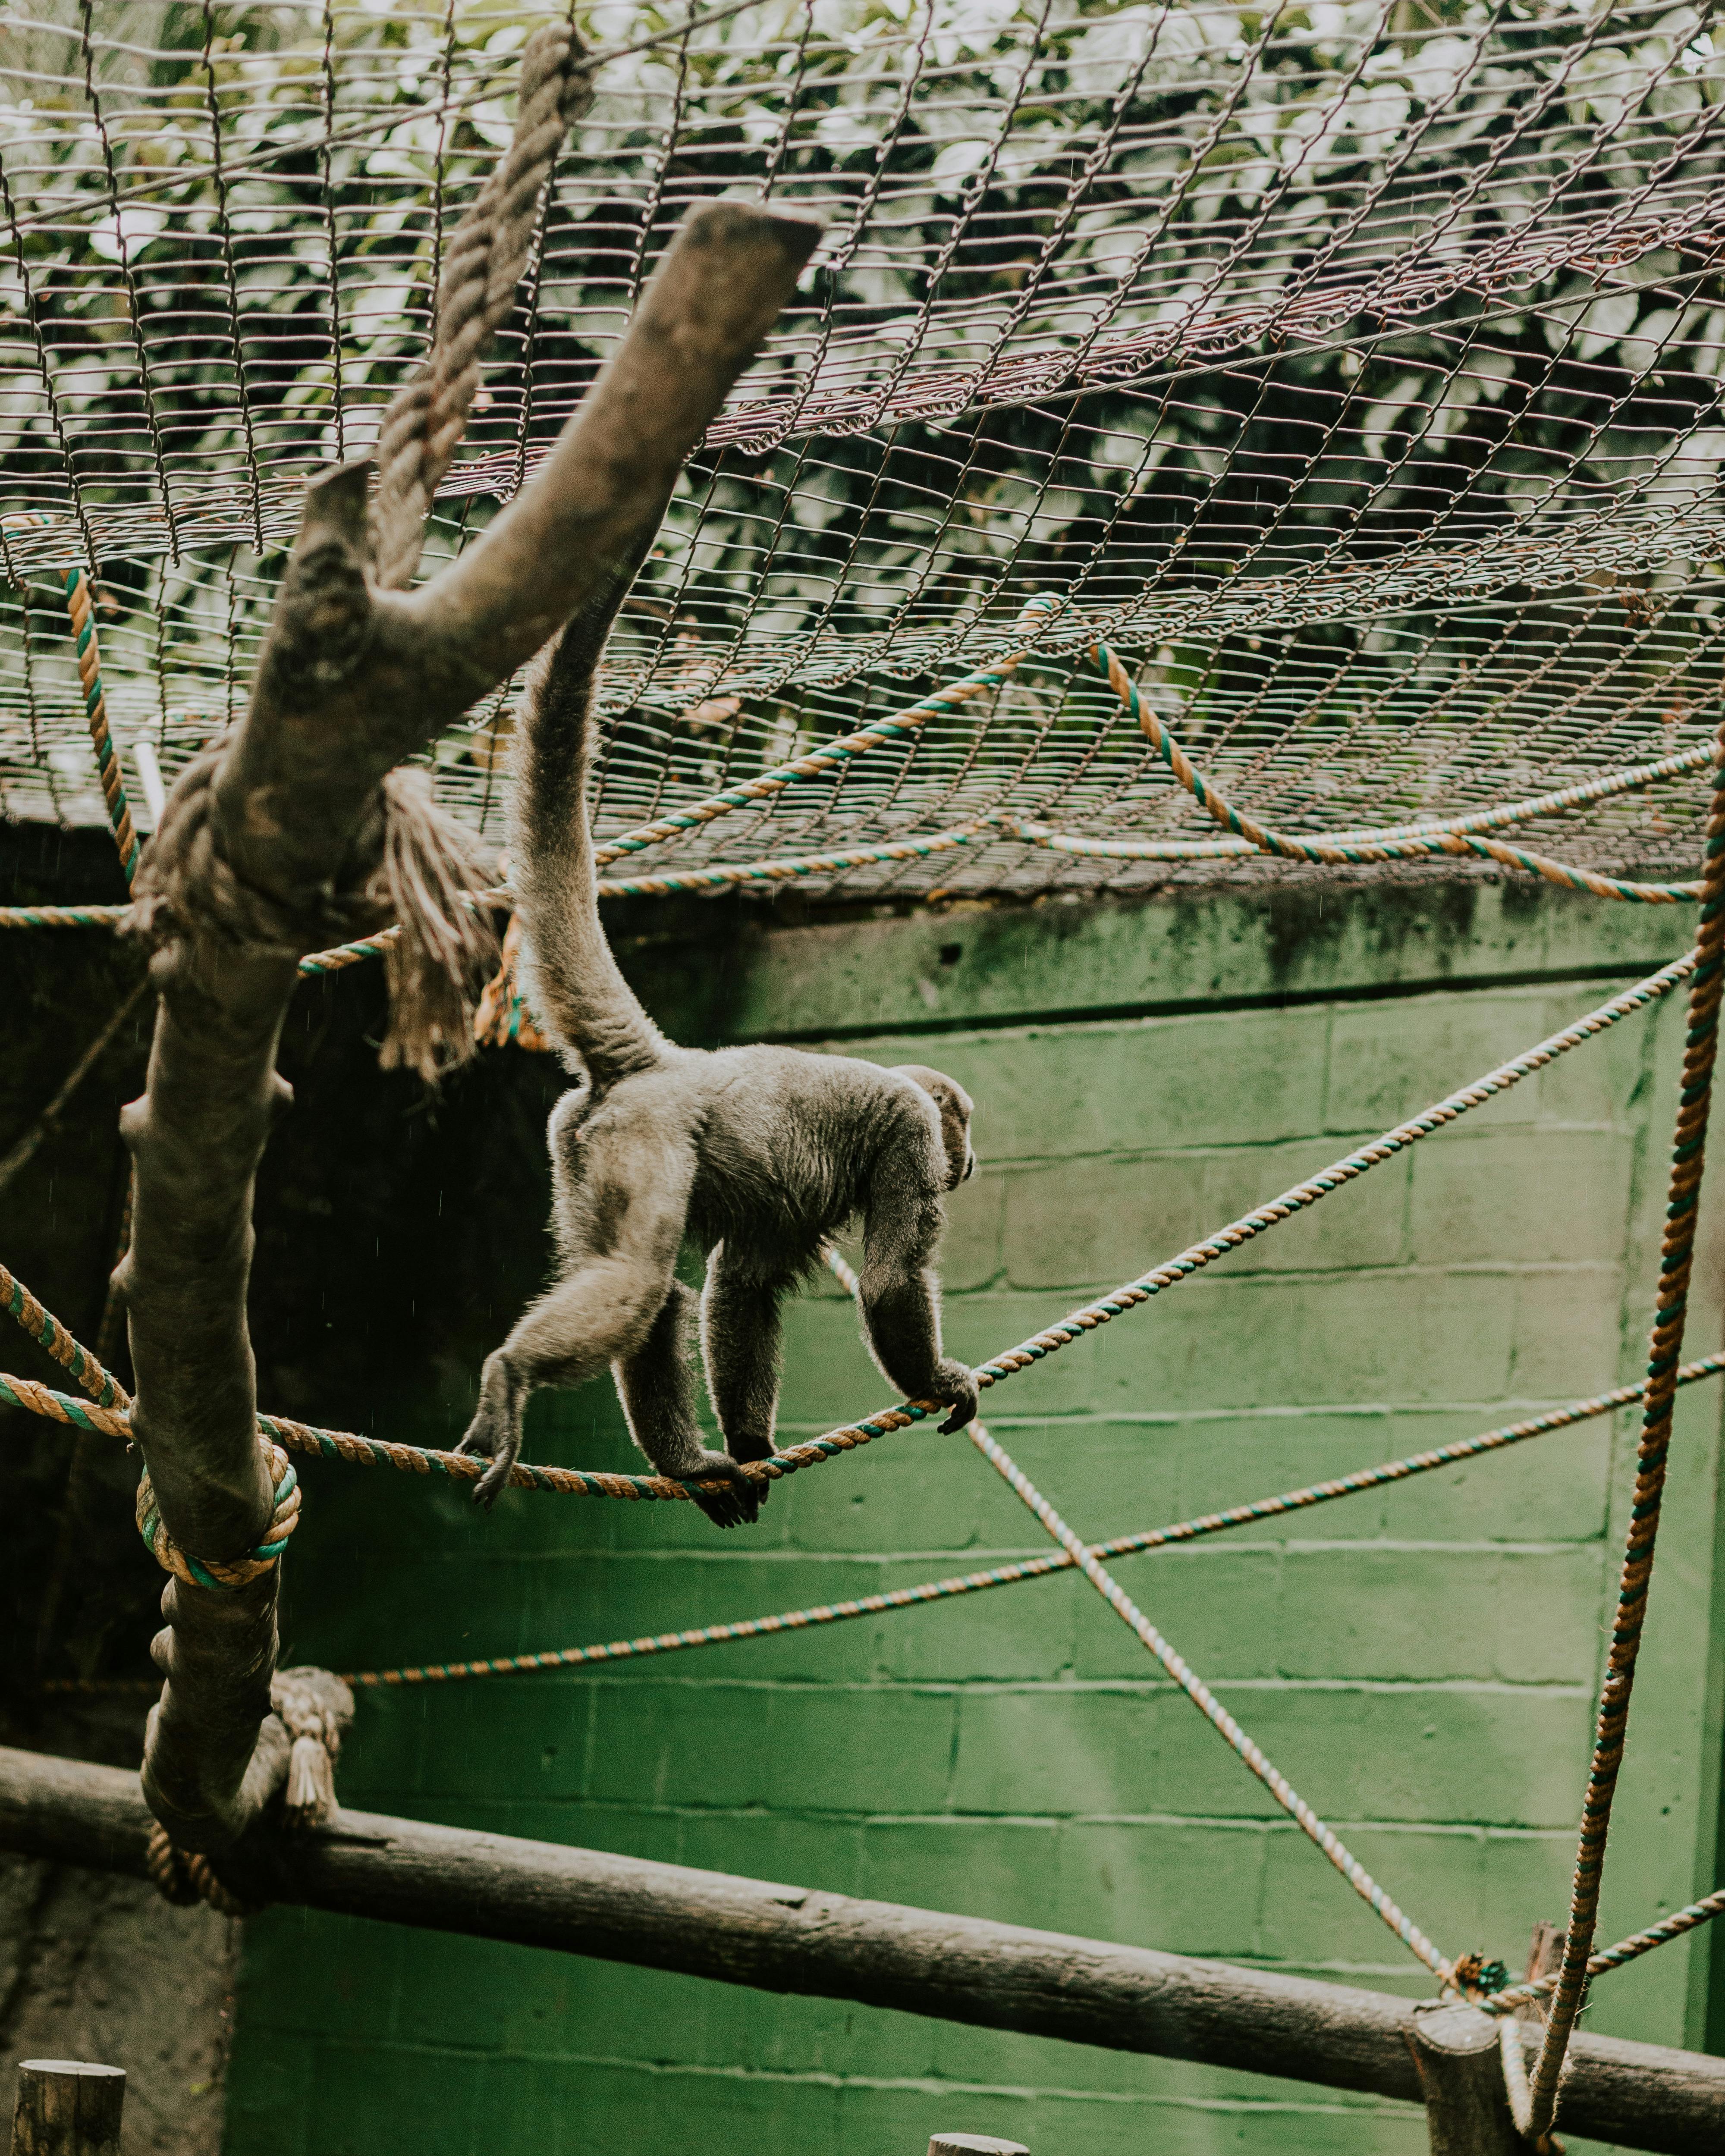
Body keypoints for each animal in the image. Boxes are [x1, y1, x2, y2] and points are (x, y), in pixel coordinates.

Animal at [455, 559, 980, 1526]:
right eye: (963, 1124)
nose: (972, 1158)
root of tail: (660, 1062)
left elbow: (742, 1286)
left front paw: (749, 1447)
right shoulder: (908, 1131)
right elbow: (889, 1281)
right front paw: (936, 1380)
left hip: (578, 1144)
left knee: (650, 1290)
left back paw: (686, 1459)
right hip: (646, 1133)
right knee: (639, 1277)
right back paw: (512, 1375)